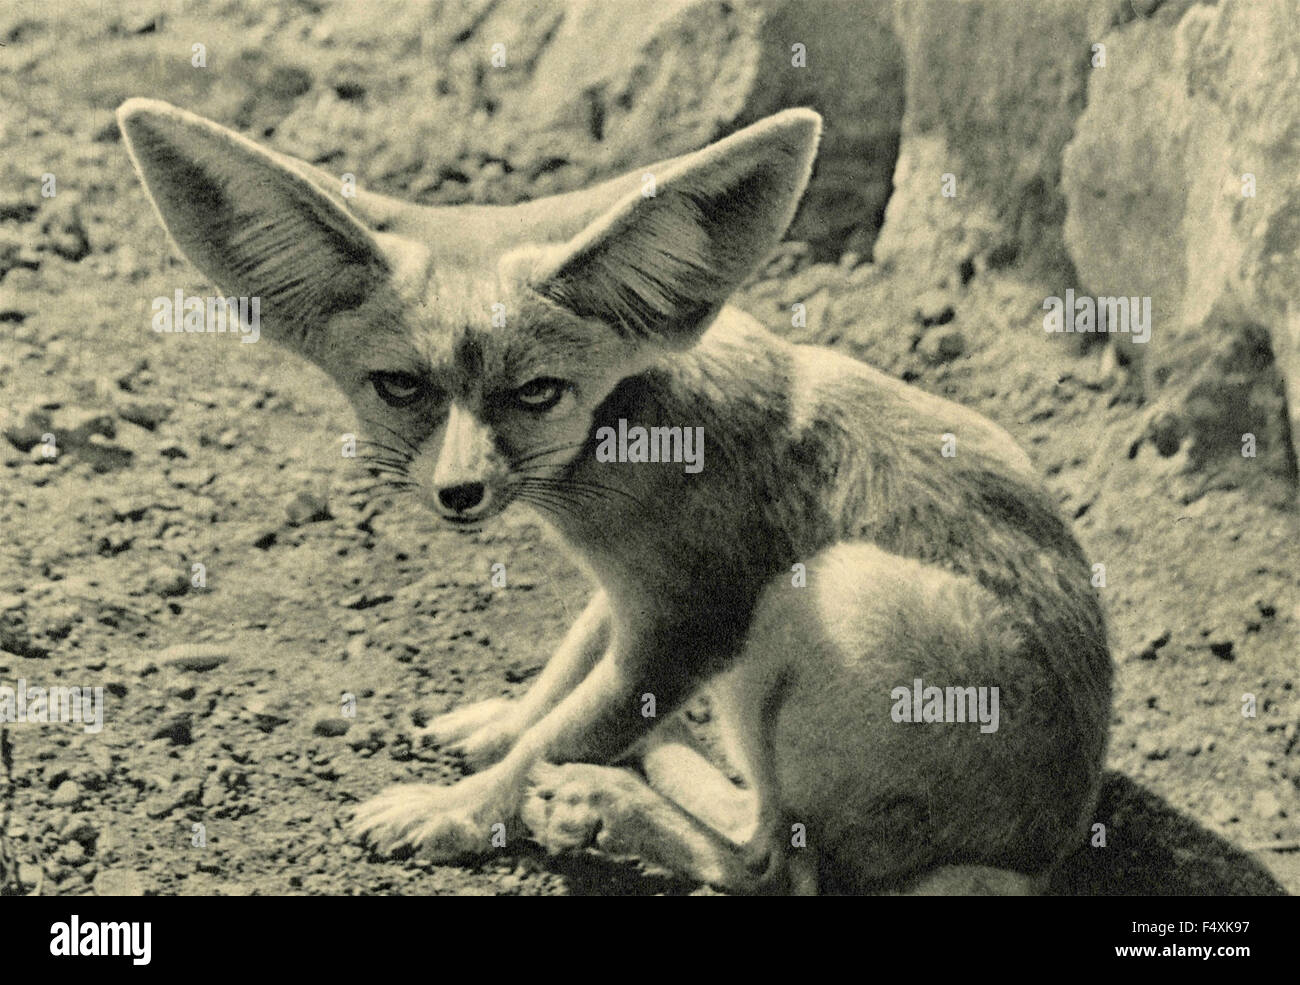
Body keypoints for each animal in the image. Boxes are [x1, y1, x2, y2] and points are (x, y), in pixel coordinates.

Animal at [117, 97, 1112, 895]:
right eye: (400, 387)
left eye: (536, 393)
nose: (458, 492)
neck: (635, 428)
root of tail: (1041, 858)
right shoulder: (628, 594)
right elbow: (563, 677)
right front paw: (499, 724)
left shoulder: (690, 623)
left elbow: (562, 733)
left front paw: (457, 810)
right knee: (761, 832)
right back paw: (651, 772)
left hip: (827, 600)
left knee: (774, 868)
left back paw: (613, 797)